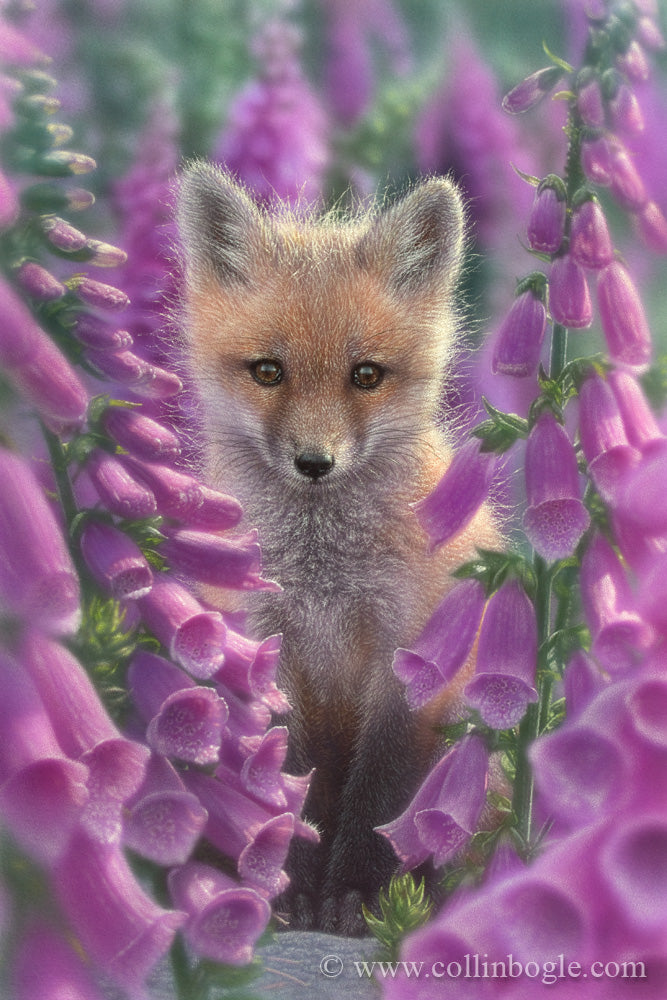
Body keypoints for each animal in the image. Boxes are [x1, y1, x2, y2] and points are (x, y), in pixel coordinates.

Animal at [176, 163, 497, 936]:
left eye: (366, 375)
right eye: (268, 371)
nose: (314, 463)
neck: (323, 580)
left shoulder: (409, 656)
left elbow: (382, 796)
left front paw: (359, 895)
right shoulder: (265, 646)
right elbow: (281, 786)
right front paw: (285, 889)